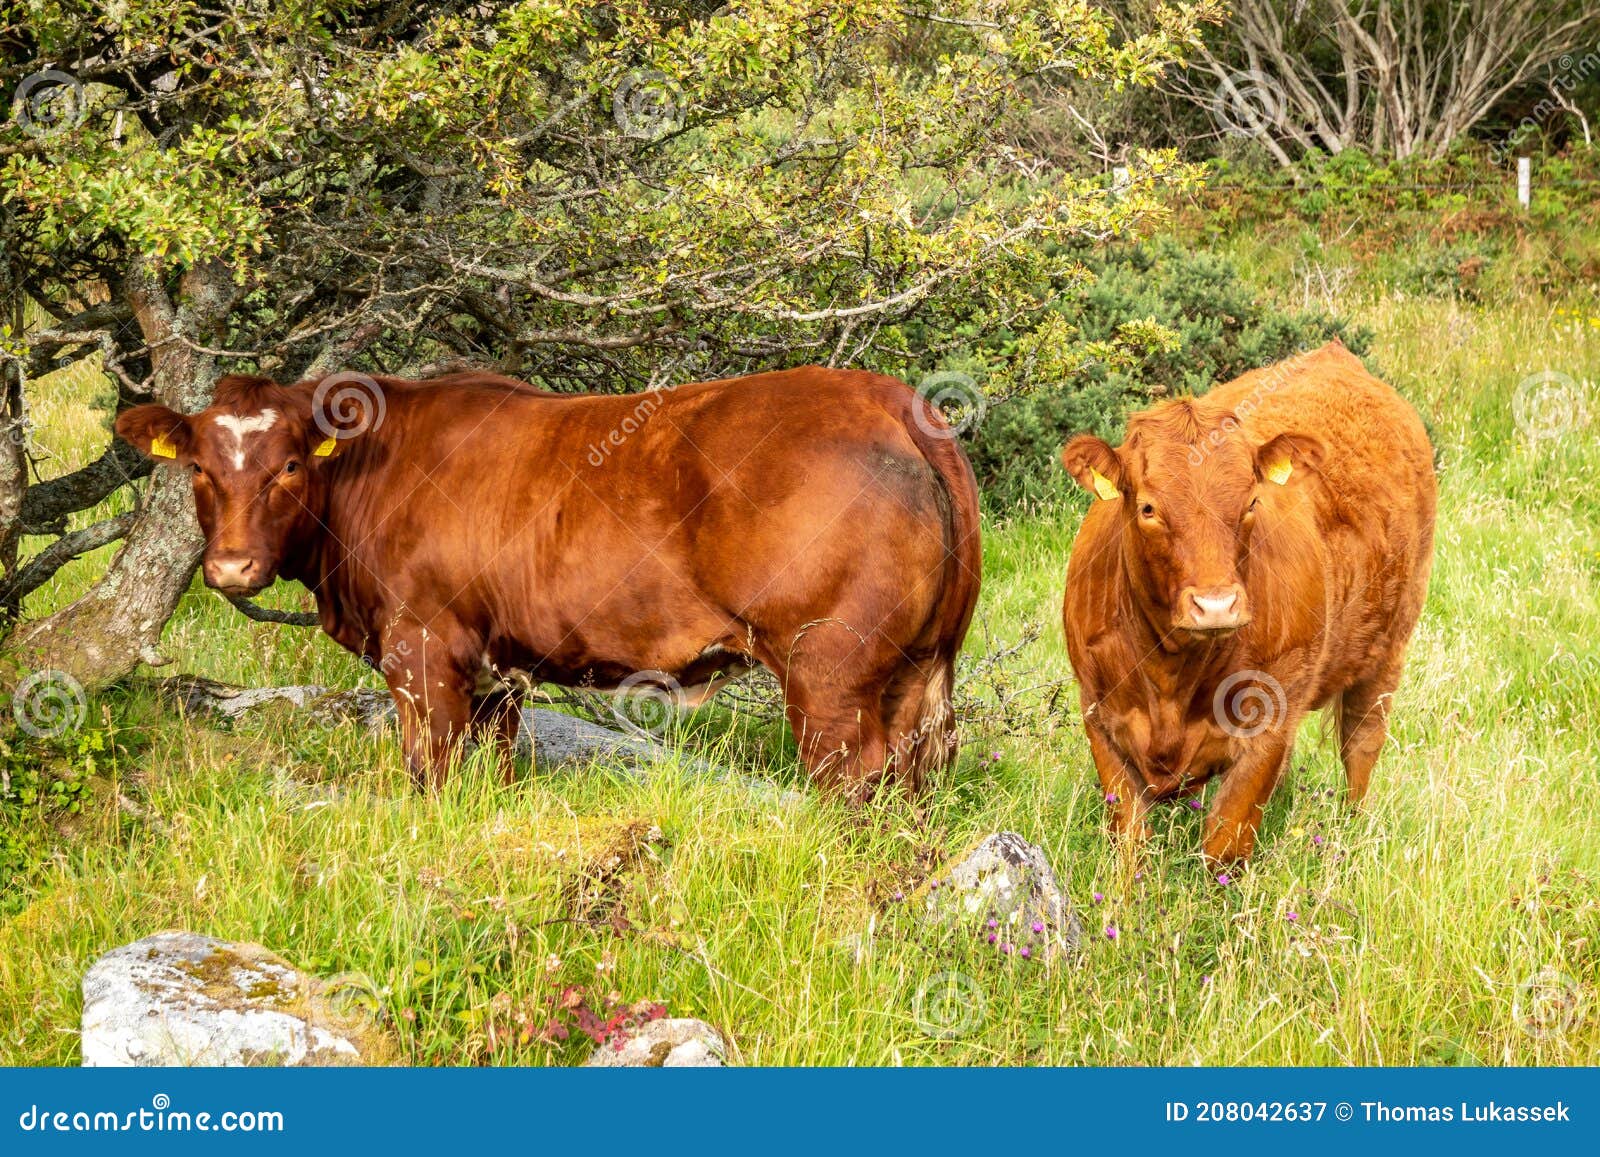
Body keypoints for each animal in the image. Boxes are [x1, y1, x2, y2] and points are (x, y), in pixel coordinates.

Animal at [115, 367, 981, 796]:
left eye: (291, 464)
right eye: (199, 467)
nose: (231, 565)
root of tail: (885, 396)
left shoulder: (422, 646)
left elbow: (430, 771)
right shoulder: (496, 668)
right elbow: (490, 770)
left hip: (828, 666)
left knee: (856, 780)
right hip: (918, 670)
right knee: (914, 779)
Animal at [1058, 341, 1435, 865]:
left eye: (1251, 502)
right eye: (1148, 508)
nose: (1216, 605)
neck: (1171, 675)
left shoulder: (1268, 727)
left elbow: (1223, 849)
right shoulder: (1100, 719)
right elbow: (1131, 845)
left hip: (1387, 651)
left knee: (1360, 744)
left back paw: (1354, 832)